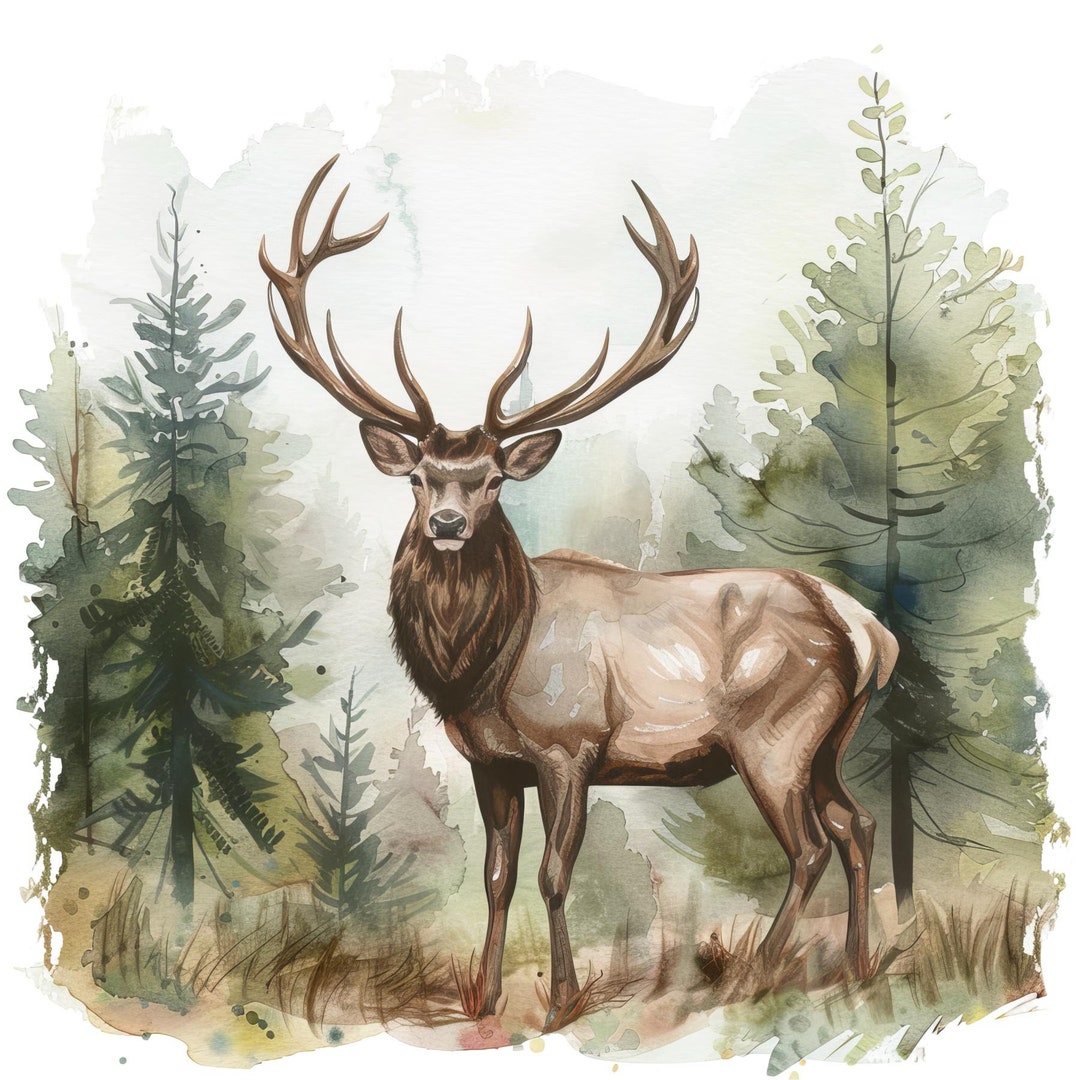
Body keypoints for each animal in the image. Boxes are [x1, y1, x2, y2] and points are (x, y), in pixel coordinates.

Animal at [260, 156, 899, 1031]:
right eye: (421, 478)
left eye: (493, 479)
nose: (449, 524)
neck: (480, 669)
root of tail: (866, 629)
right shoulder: (492, 763)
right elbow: (497, 878)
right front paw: (485, 995)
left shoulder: (571, 746)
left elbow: (553, 874)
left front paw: (561, 1000)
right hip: (830, 741)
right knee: (858, 824)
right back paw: (862, 965)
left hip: (777, 735)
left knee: (806, 846)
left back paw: (761, 969)